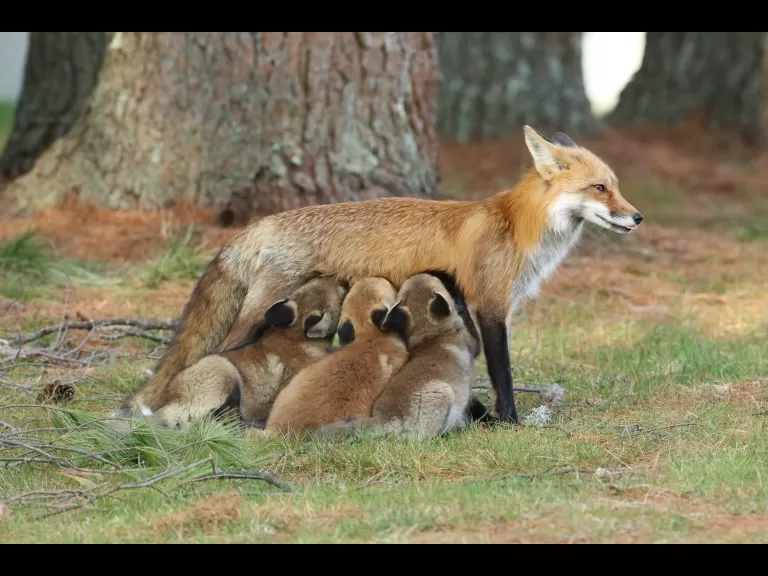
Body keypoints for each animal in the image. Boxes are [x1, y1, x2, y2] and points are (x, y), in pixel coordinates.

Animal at [312, 273, 480, 441]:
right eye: (438, 283)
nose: (425, 272)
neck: (432, 335)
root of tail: (385, 418)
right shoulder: (471, 343)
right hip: (442, 393)